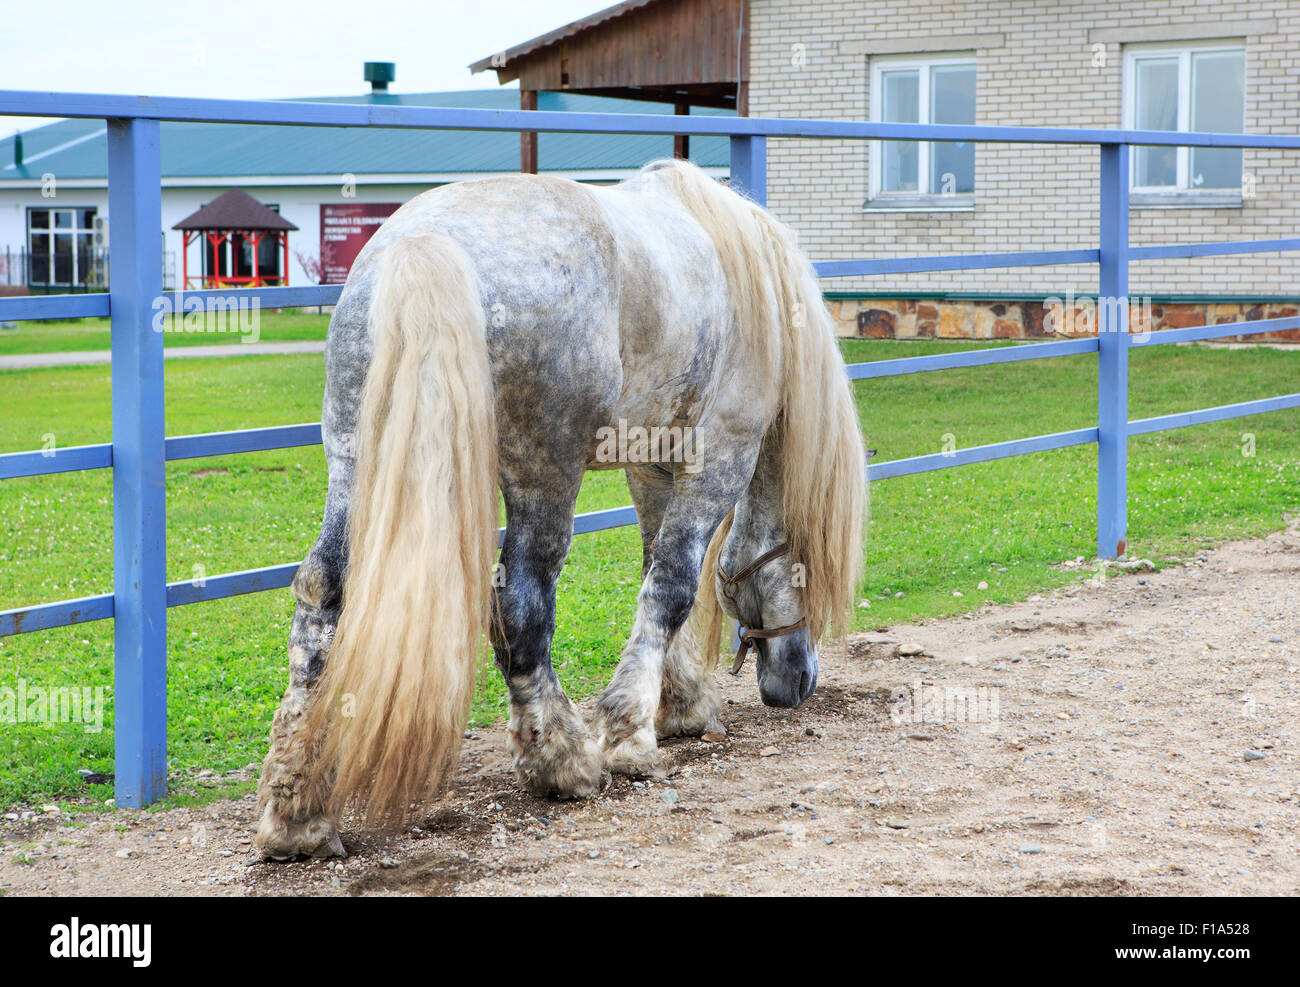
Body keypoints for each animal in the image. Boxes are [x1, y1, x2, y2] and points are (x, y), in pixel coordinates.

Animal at [252, 159, 866, 860]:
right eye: (809, 568)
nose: (800, 681)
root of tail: (423, 245)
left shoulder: (651, 465)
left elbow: (656, 573)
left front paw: (680, 705)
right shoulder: (720, 459)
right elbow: (673, 587)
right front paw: (631, 736)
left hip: (353, 461)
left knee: (322, 592)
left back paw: (296, 810)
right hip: (544, 475)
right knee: (520, 602)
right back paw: (563, 760)